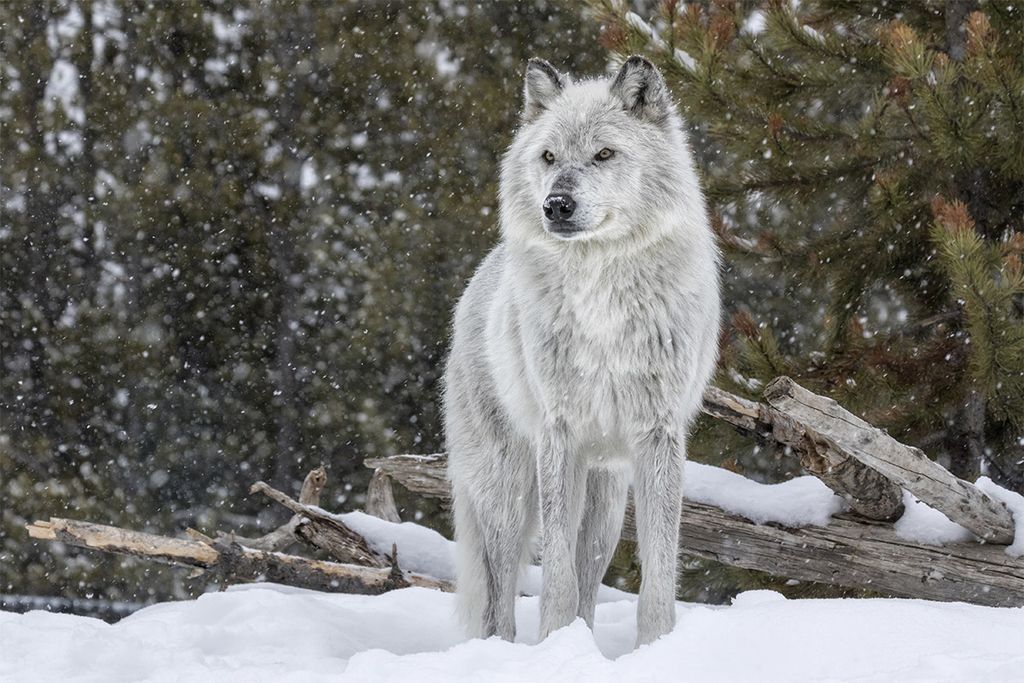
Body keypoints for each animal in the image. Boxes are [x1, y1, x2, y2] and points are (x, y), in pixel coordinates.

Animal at [443, 55, 721, 647]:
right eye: (549, 157)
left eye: (604, 154)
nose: (557, 205)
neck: (602, 295)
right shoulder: (560, 433)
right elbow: (556, 578)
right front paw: (554, 644)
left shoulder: (657, 435)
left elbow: (658, 573)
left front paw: (656, 647)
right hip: (508, 490)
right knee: (500, 598)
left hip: (607, 500)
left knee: (589, 570)